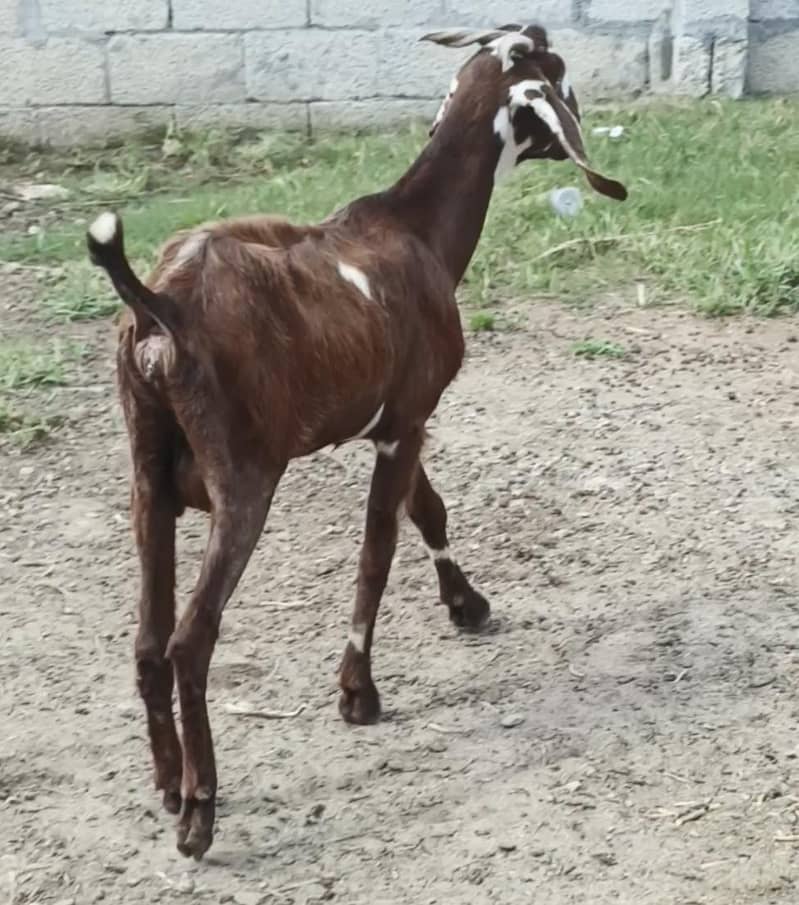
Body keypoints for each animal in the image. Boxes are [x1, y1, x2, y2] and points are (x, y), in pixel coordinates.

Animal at [87, 23, 627, 861]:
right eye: (560, 73)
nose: (589, 105)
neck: (415, 227)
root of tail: (159, 305)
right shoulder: (403, 424)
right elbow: (378, 547)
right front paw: (358, 692)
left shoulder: (399, 416)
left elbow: (426, 509)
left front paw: (467, 604)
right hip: (243, 478)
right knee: (189, 638)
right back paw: (200, 811)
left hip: (149, 480)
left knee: (147, 639)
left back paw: (168, 781)